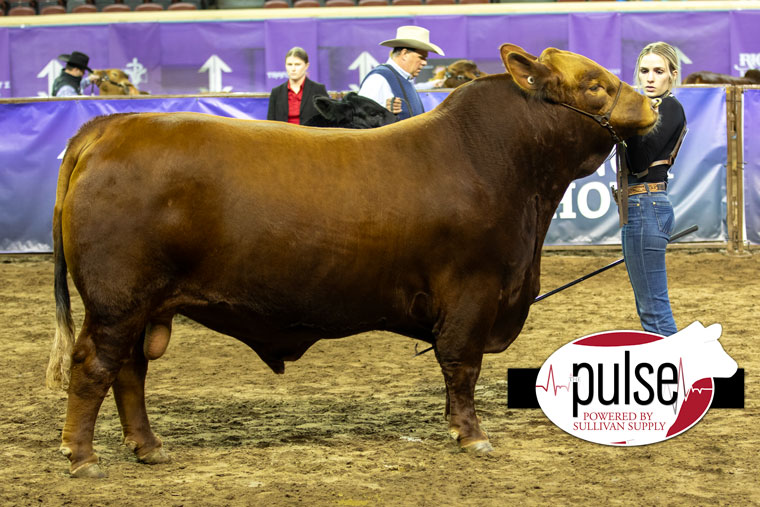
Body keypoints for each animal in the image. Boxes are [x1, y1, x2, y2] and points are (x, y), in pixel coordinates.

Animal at [46, 44, 659, 478]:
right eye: (596, 85)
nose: (653, 103)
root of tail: (110, 126)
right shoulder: (472, 292)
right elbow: (461, 366)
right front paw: (471, 435)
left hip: (141, 304)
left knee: (130, 371)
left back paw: (149, 448)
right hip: (116, 300)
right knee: (95, 367)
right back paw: (82, 457)